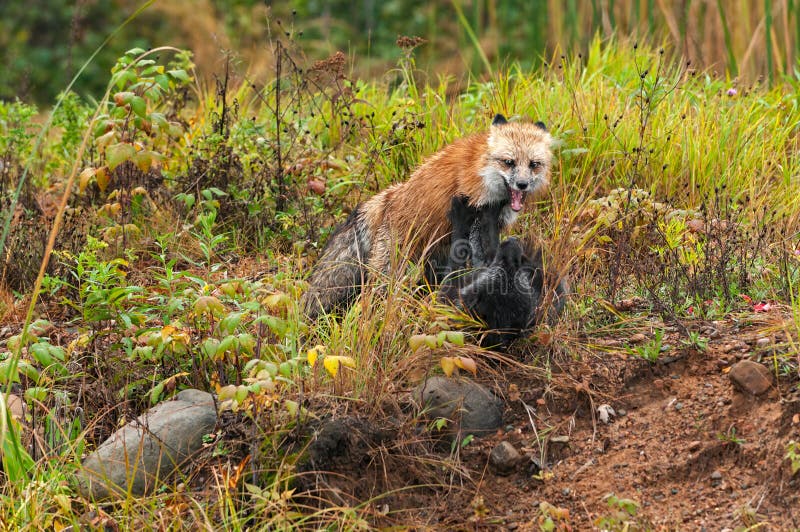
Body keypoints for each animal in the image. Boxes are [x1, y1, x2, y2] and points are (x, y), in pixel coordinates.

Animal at [302, 113, 553, 318]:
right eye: (509, 162)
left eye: (534, 164)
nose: (522, 185)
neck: (483, 172)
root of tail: (388, 197)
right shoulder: (474, 212)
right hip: (391, 268)